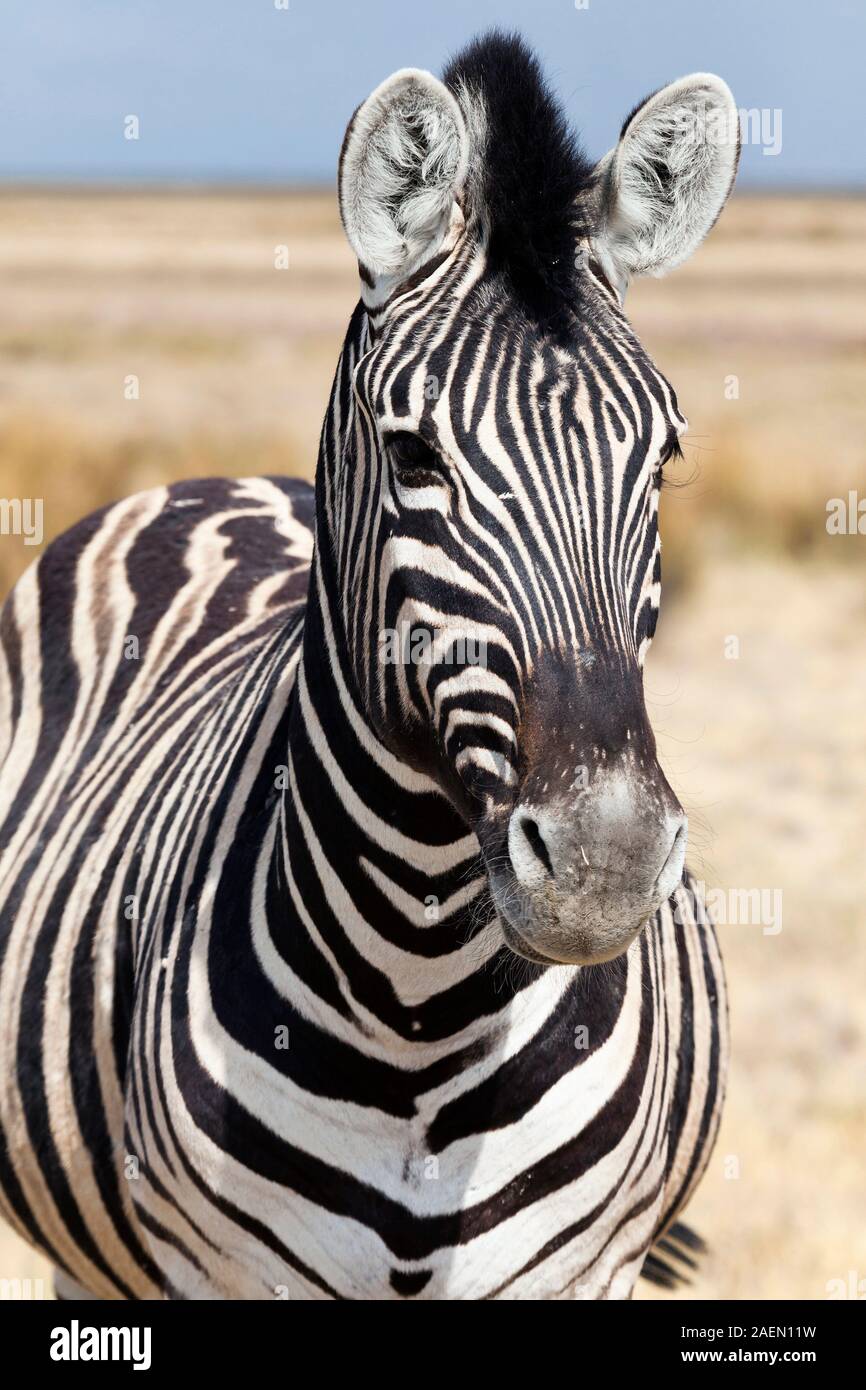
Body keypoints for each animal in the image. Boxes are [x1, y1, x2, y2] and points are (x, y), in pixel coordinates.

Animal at [0, 32, 738, 1300]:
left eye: (663, 458)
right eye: (413, 455)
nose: (603, 863)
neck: (424, 1005)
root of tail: (212, 484)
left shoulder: (583, 1267)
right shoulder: (214, 1270)